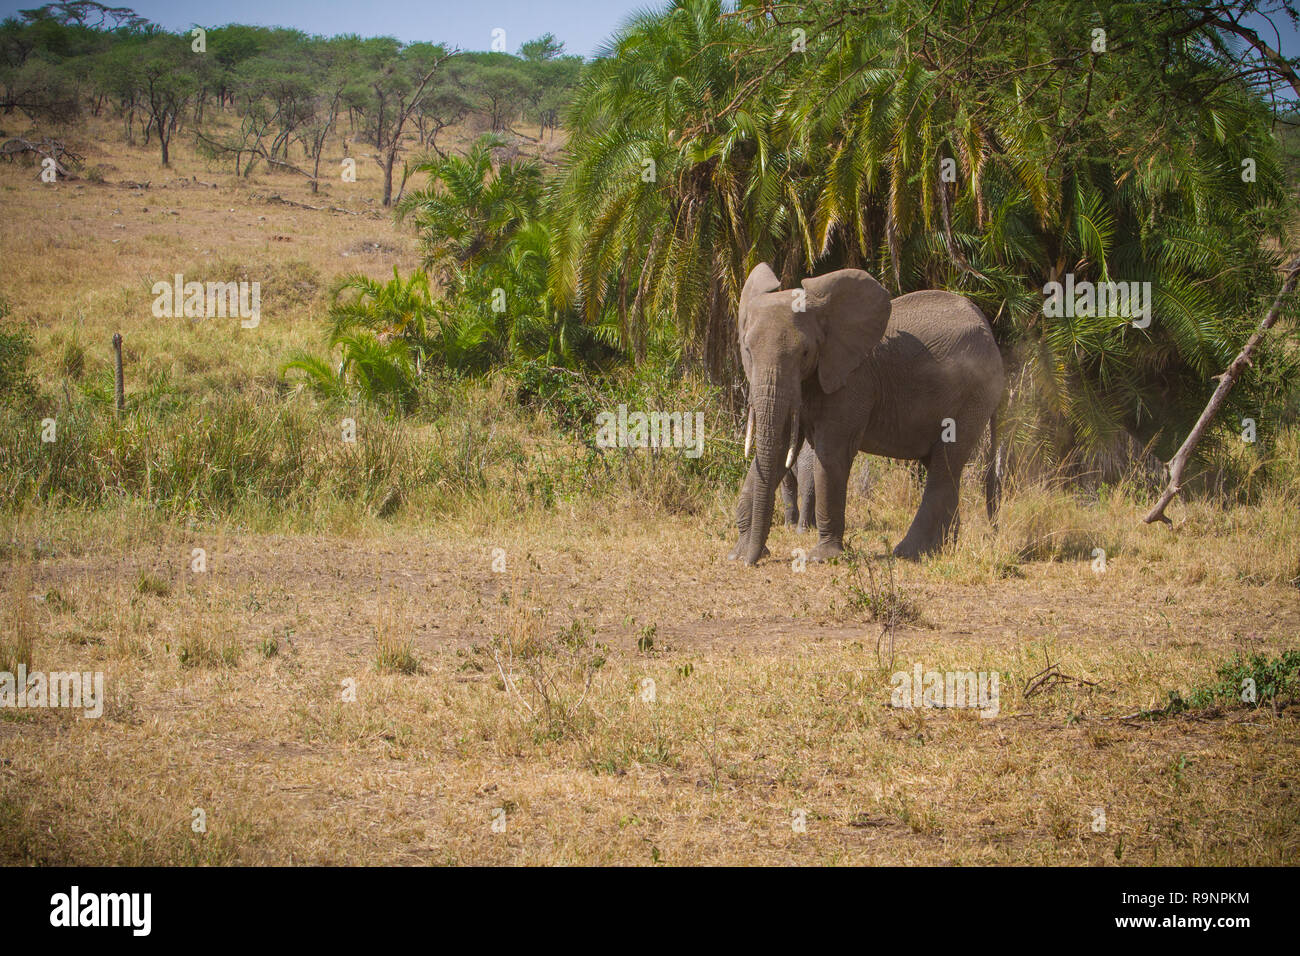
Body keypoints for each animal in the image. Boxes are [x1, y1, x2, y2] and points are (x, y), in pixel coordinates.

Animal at [728, 263, 1003, 565]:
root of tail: (991, 336)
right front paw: (737, 553)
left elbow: (831, 454)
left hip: (973, 397)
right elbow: (777, 452)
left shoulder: (854, 380)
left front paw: (821, 557)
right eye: (748, 349)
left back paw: (909, 552)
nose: (753, 561)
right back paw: (941, 550)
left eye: (805, 353)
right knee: (943, 466)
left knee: (944, 465)